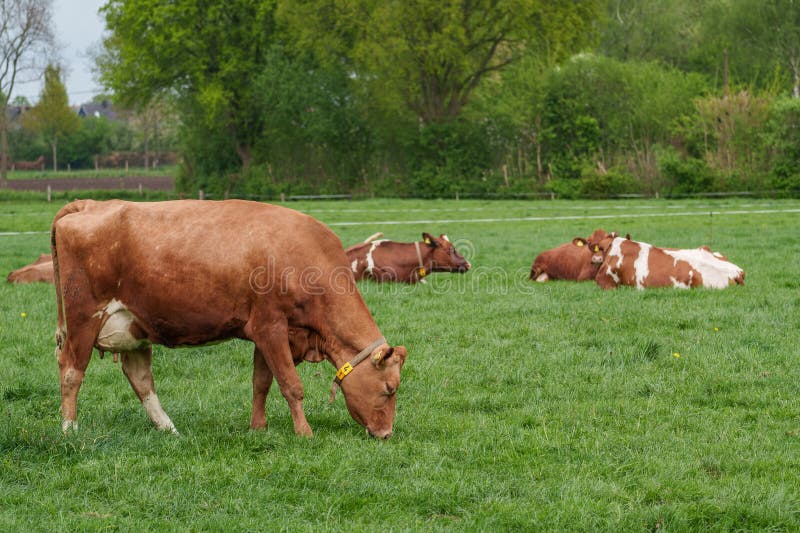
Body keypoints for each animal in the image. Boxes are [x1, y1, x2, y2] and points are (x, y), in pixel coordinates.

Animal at [51, 199, 408, 438]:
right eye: (390, 388)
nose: (386, 434)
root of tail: (89, 204)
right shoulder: (271, 326)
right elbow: (291, 385)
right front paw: (304, 433)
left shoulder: (267, 333)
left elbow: (261, 382)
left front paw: (258, 428)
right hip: (84, 318)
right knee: (71, 370)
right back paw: (69, 429)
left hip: (134, 327)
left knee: (139, 377)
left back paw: (169, 429)